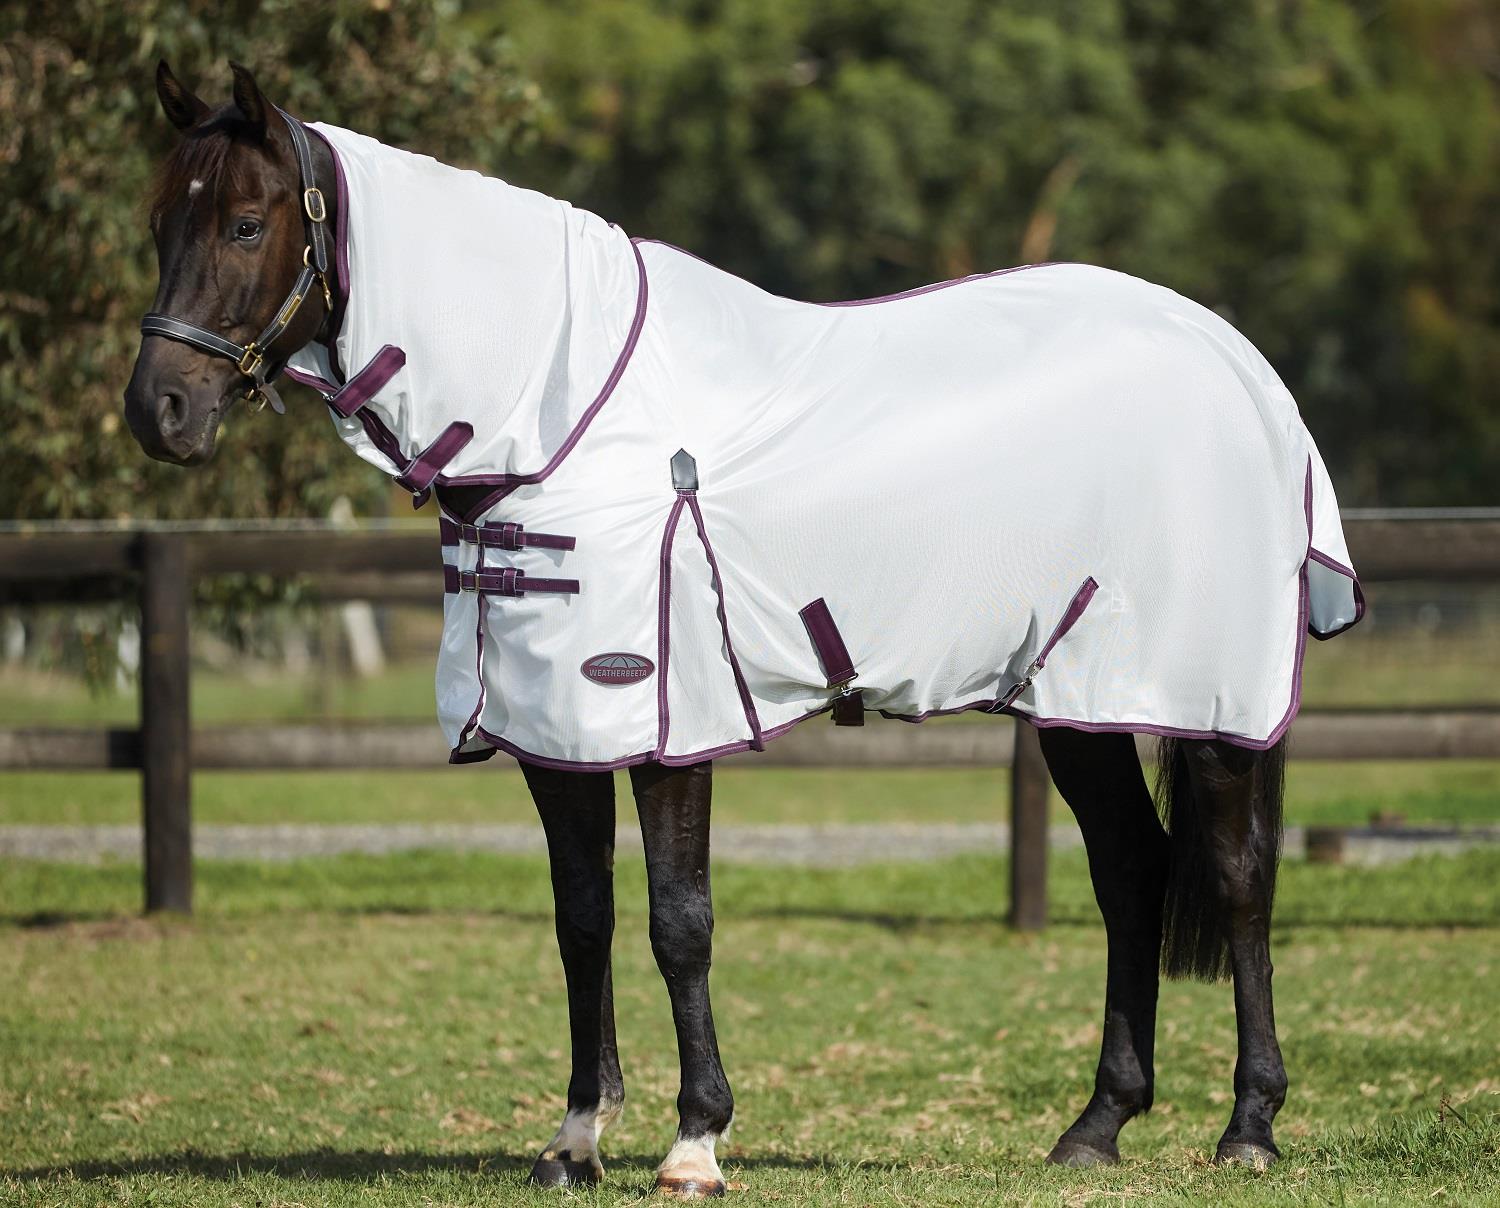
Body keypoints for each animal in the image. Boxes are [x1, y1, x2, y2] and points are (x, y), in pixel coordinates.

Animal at [125, 61, 1364, 1195]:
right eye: (155, 221)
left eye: (244, 221)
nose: (158, 411)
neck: (567, 412)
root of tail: (1244, 370)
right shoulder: (554, 731)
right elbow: (582, 918)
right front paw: (575, 1138)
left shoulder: (667, 722)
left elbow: (679, 920)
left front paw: (695, 1141)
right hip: (1077, 702)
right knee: (1131, 871)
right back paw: (1097, 1124)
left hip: (1206, 703)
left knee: (1238, 878)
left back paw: (1249, 1126)